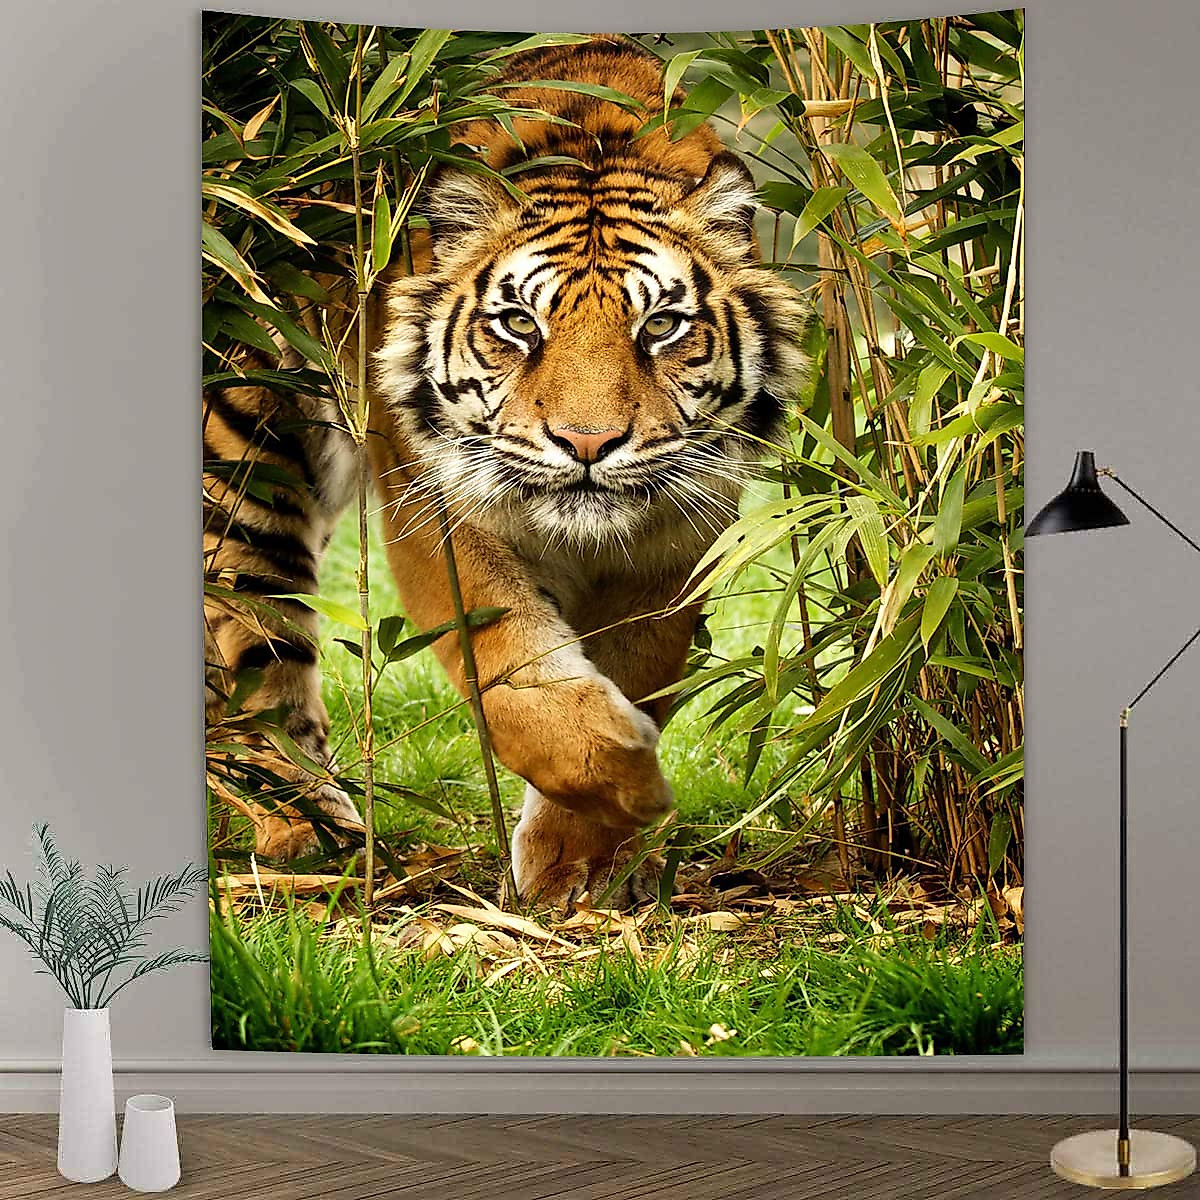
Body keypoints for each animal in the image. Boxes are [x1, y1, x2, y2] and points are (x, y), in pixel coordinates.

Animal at [203, 34, 809, 910]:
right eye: (520, 324)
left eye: (661, 326)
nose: (588, 443)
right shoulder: (437, 510)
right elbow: (512, 668)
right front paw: (630, 783)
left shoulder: (677, 537)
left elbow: (634, 666)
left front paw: (580, 862)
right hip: (251, 455)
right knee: (253, 653)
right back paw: (308, 835)